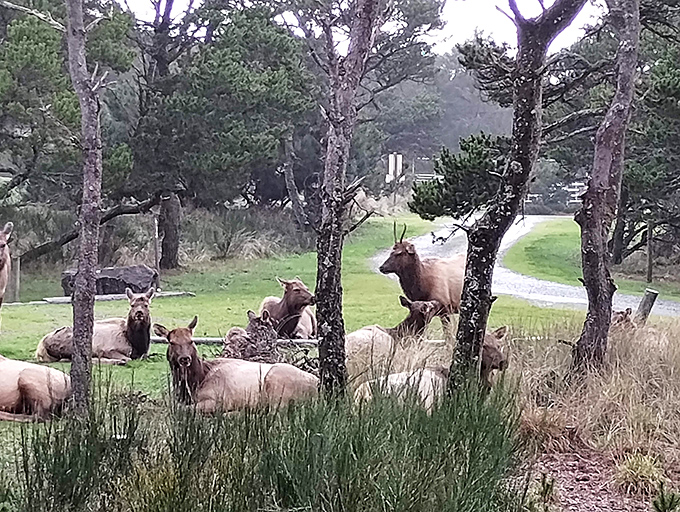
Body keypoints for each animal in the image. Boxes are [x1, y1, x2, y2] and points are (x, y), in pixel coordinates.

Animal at [155, 316, 318, 413]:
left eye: (191, 341)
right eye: (172, 342)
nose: (185, 359)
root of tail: (319, 387)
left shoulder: (217, 399)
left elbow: (184, 409)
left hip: (278, 384)